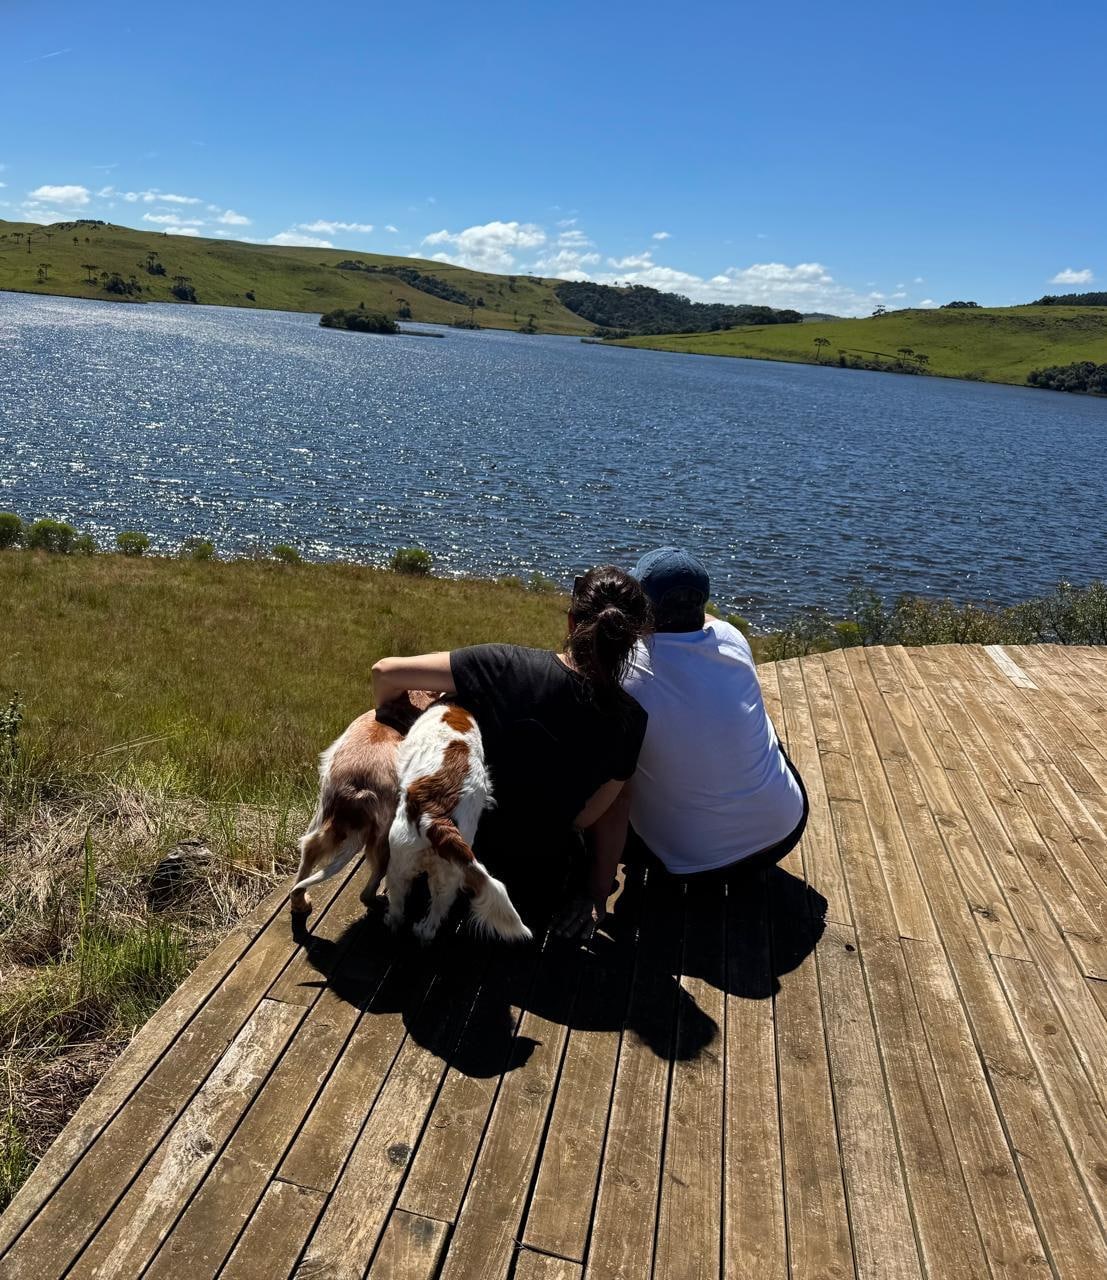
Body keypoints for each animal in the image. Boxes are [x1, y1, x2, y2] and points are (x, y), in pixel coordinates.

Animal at [290, 690, 434, 917]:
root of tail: (355, 791)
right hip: (385, 837)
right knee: (370, 887)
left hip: (321, 818)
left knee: (309, 852)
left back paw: (300, 902)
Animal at [386, 701, 531, 944]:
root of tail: (436, 818)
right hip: (448, 877)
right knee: (434, 917)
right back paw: (422, 930)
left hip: (399, 861)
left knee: (397, 902)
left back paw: (392, 921)